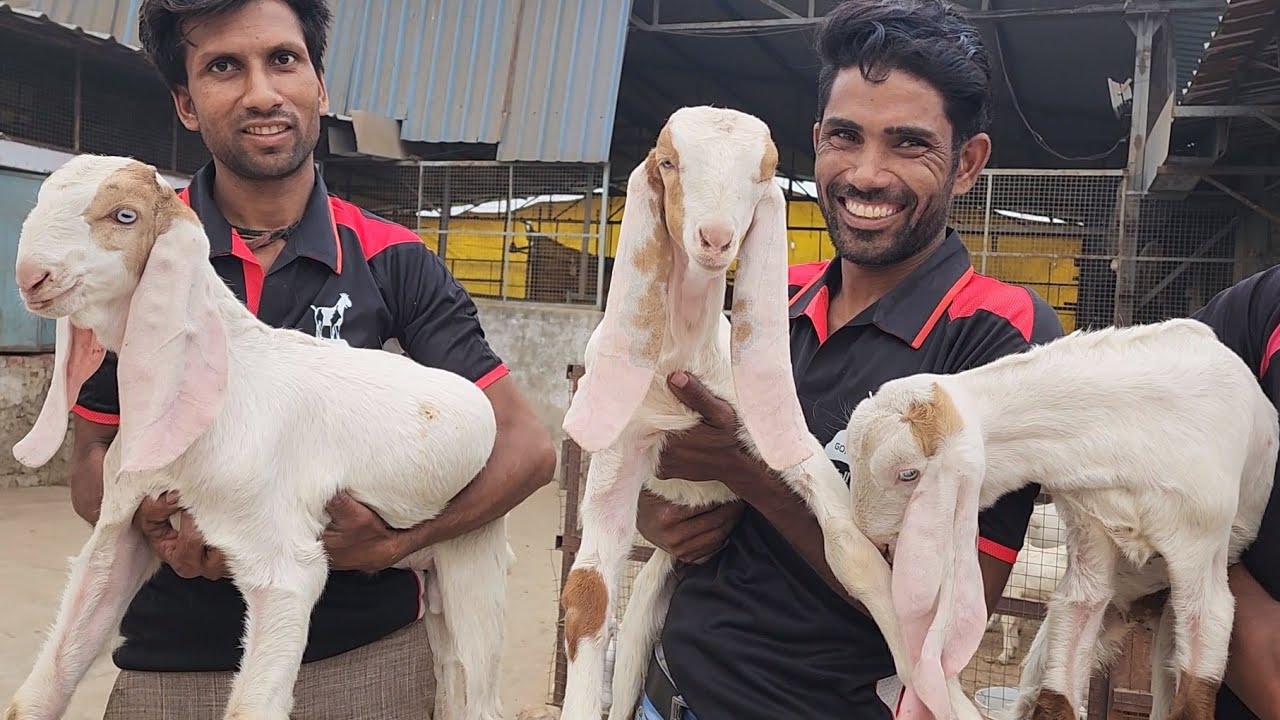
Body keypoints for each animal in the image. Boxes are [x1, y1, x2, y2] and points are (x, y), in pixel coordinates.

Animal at [842, 317, 1278, 720]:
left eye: (908, 474)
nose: (873, 539)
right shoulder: (1089, 532)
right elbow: (1065, 663)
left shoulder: (1201, 544)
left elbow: (1202, 657)